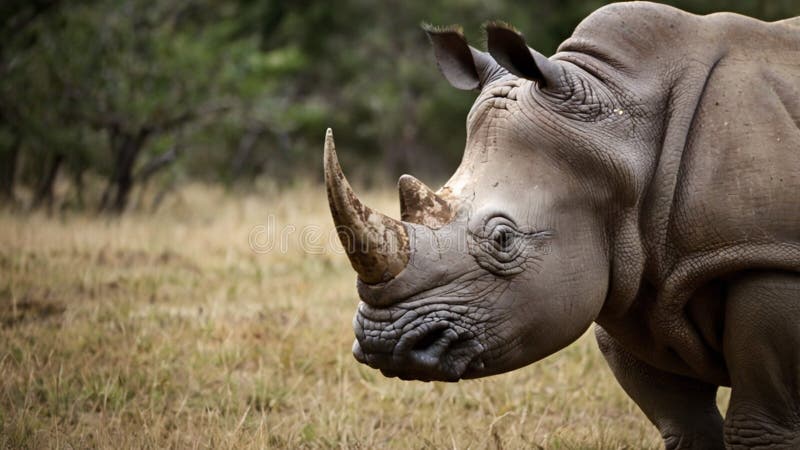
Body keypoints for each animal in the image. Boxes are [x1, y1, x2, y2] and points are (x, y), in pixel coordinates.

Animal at [324, 2, 800, 448]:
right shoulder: (632, 280)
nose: (384, 342)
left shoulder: (769, 257)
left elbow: (762, 429)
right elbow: (687, 427)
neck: (622, 124)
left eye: (503, 238)